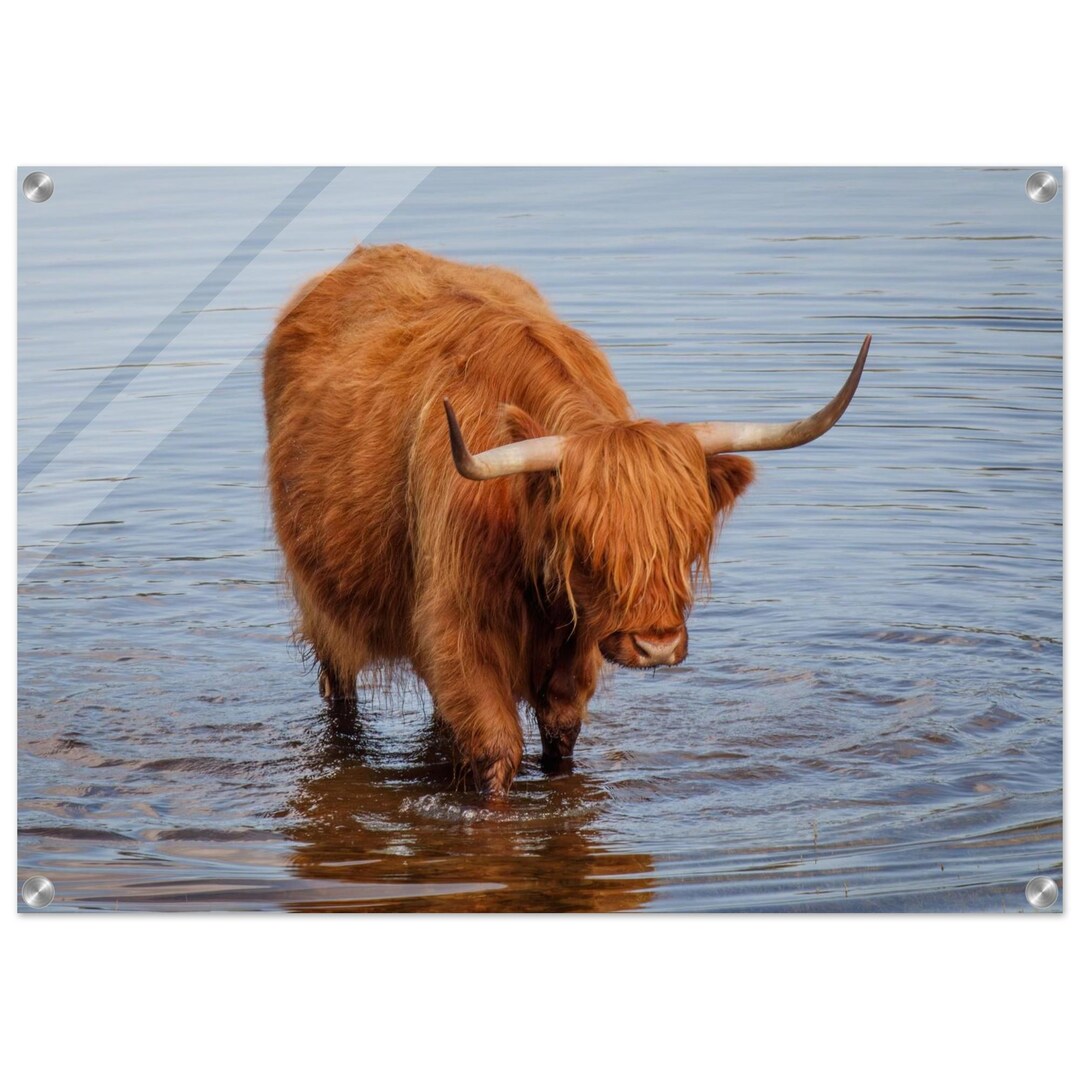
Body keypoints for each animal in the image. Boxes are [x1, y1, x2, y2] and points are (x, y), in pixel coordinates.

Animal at [264, 244, 870, 797]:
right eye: (590, 544)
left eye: (687, 539)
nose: (656, 646)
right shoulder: (458, 633)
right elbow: (496, 752)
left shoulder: (574, 652)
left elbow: (560, 738)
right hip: (324, 608)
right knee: (340, 695)